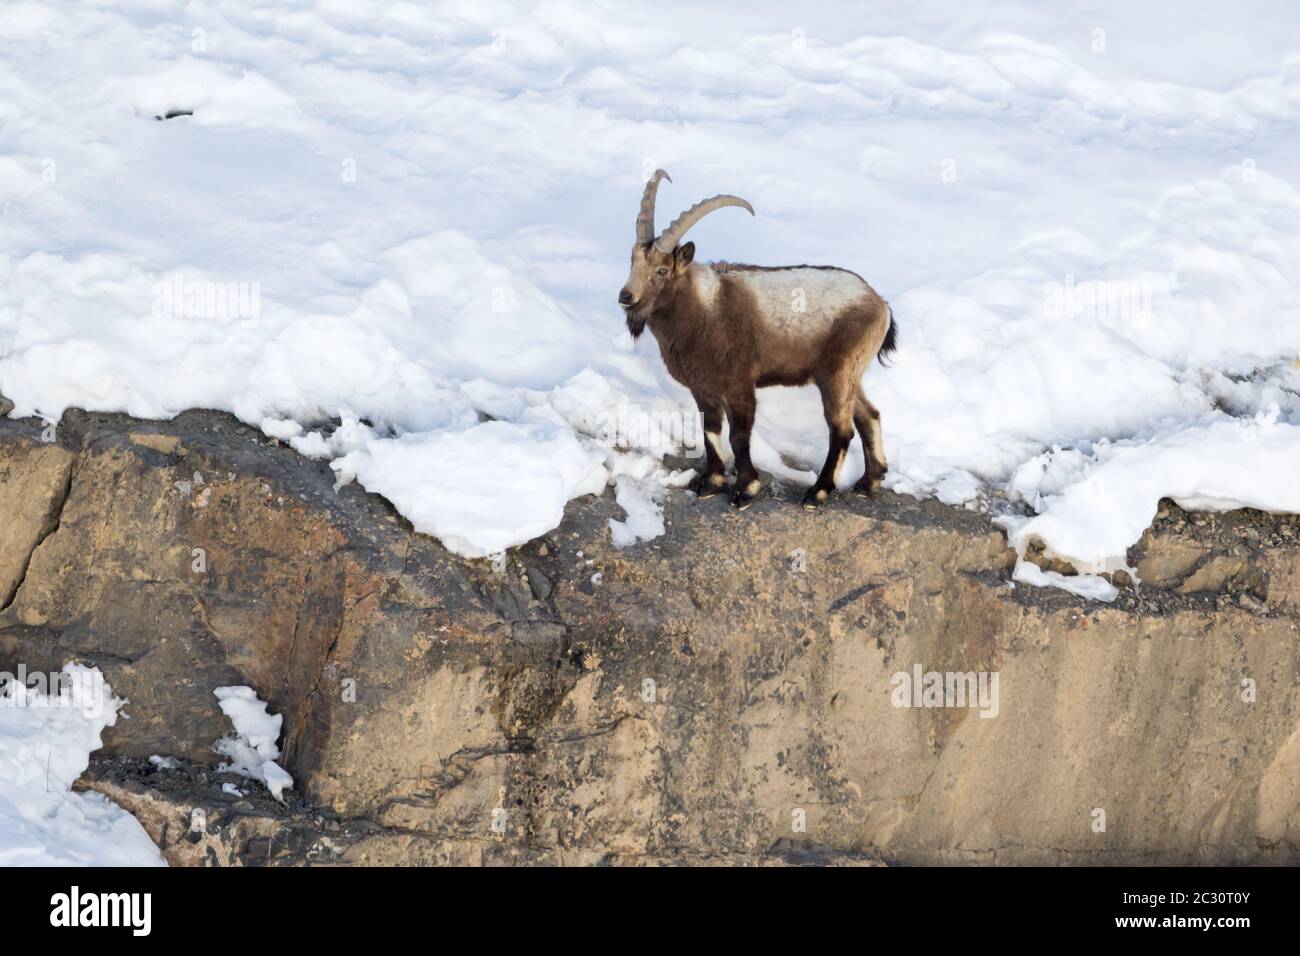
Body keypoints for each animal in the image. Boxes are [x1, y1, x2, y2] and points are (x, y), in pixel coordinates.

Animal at [619, 170, 897, 511]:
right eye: (632, 261)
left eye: (661, 270)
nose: (626, 296)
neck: (706, 308)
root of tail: (879, 303)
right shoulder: (703, 387)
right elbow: (710, 430)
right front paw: (711, 482)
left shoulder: (739, 383)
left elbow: (739, 435)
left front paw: (746, 489)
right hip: (846, 374)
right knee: (870, 415)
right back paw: (869, 482)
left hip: (839, 372)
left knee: (842, 430)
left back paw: (818, 492)